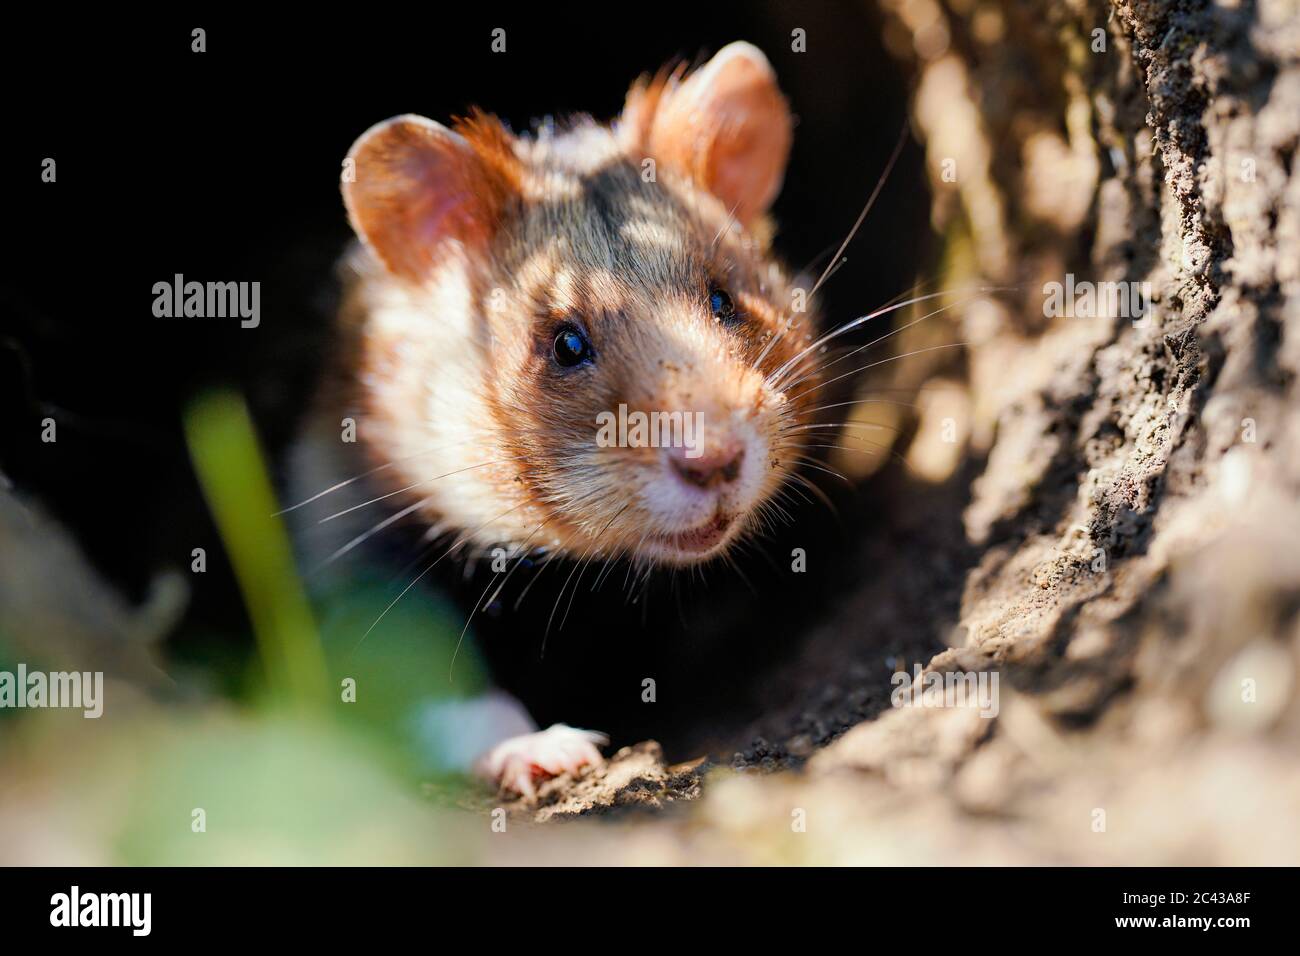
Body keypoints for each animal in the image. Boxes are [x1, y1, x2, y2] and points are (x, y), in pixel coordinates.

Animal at [293, 42, 833, 796]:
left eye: (725, 299)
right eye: (565, 344)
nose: (716, 463)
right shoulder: (351, 542)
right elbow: (428, 676)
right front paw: (556, 752)